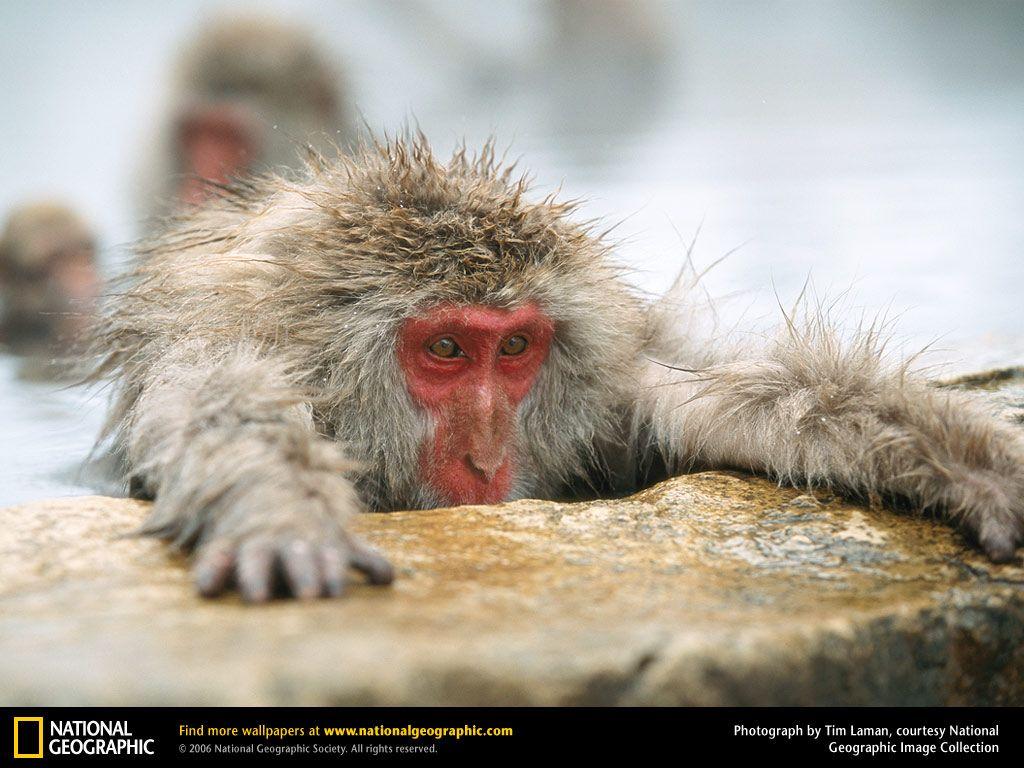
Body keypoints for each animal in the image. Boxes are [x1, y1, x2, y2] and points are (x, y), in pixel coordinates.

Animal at [87, 135, 1024, 602]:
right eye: (446, 349)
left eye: (513, 348)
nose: (488, 456)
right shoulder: (213, 351)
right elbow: (224, 407)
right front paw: (279, 510)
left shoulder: (604, 398)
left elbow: (755, 401)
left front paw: (976, 470)